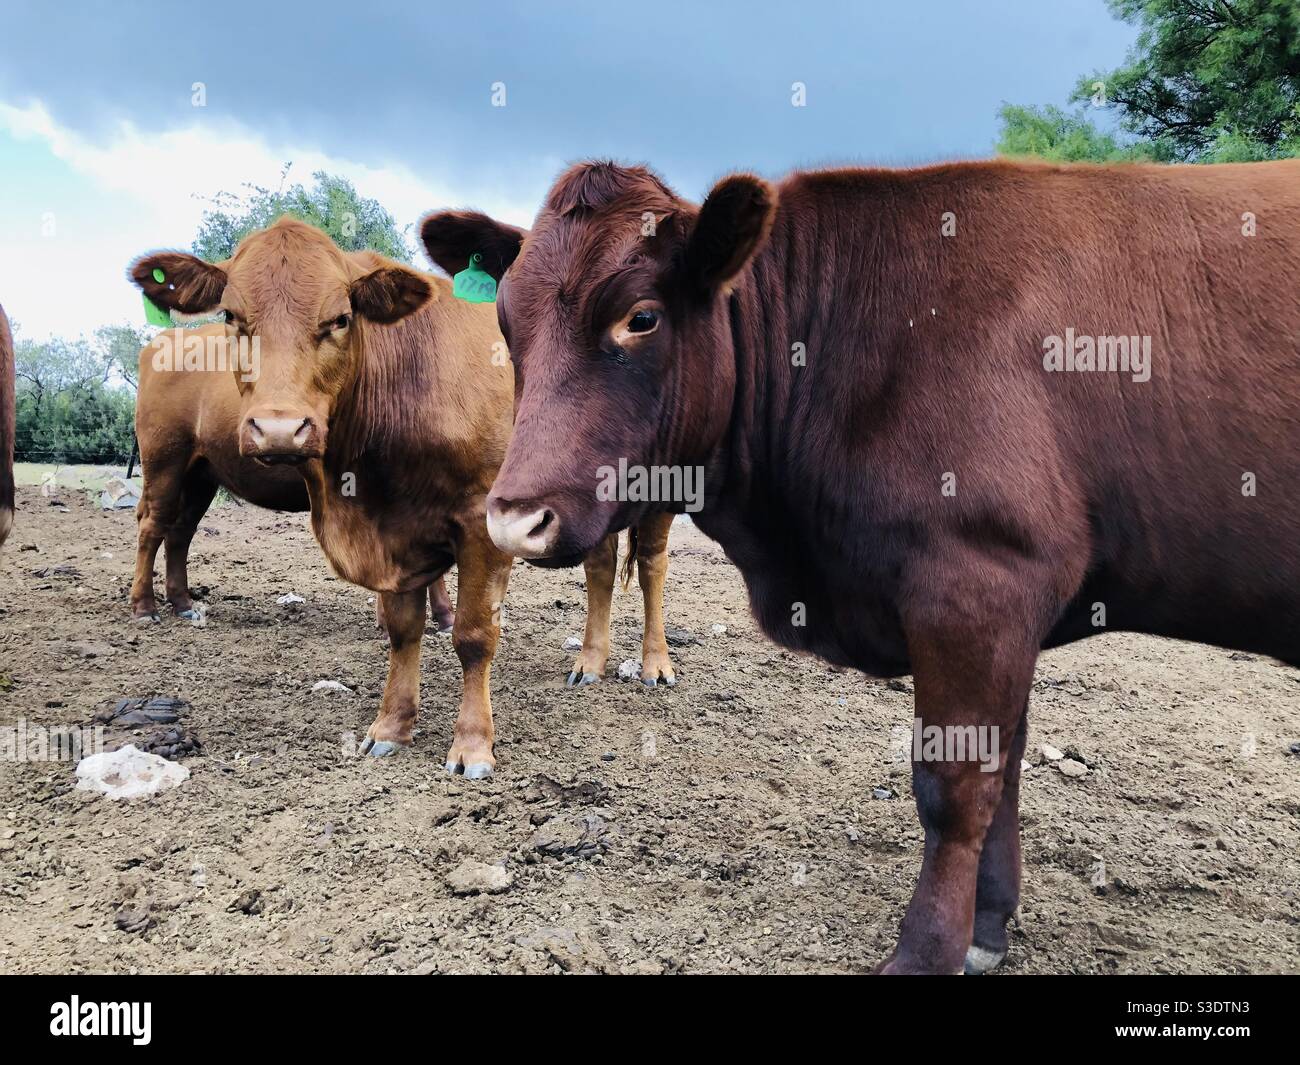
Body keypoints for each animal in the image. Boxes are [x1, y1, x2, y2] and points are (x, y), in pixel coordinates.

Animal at [130, 323, 454, 632]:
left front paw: (444, 618)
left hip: (200, 476)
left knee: (180, 532)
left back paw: (182, 603)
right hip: (165, 463)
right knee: (152, 528)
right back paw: (145, 607)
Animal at [420, 158, 1300, 972]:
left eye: (641, 317)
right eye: (507, 323)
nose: (513, 518)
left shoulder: (977, 584)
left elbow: (955, 786)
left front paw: (927, 950)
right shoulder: (1009, 614)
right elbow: (1005, 769)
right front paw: (986, 927)